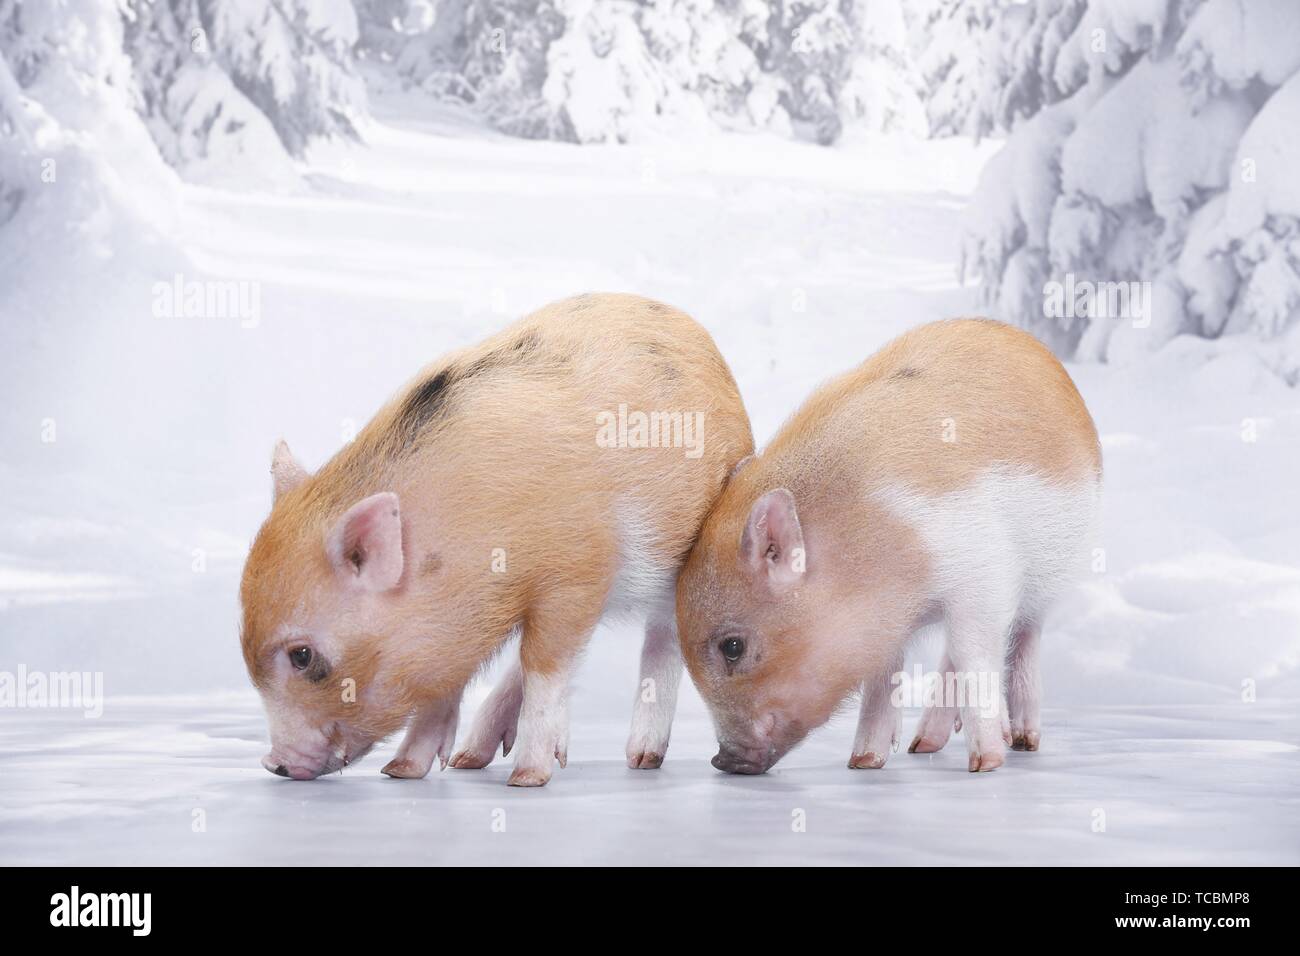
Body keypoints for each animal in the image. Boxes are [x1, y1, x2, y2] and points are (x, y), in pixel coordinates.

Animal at [240, 293, 753, 786]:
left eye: (302, 656)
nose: (273, 764)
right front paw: (402, 771)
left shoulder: (578, 575)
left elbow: (545, 666)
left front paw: (527, 778)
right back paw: (470, 759)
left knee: (662, 635)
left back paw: (641, 759)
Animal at [675, 318, 1100, 774]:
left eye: (733, 647)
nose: (722, 760)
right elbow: (885, 674)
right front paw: (864, 761)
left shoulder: (984, 576)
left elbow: (973, 657)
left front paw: (985, 764)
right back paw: (922, 745)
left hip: (1053, 571)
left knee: (1023, 635)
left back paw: (1021, 741)